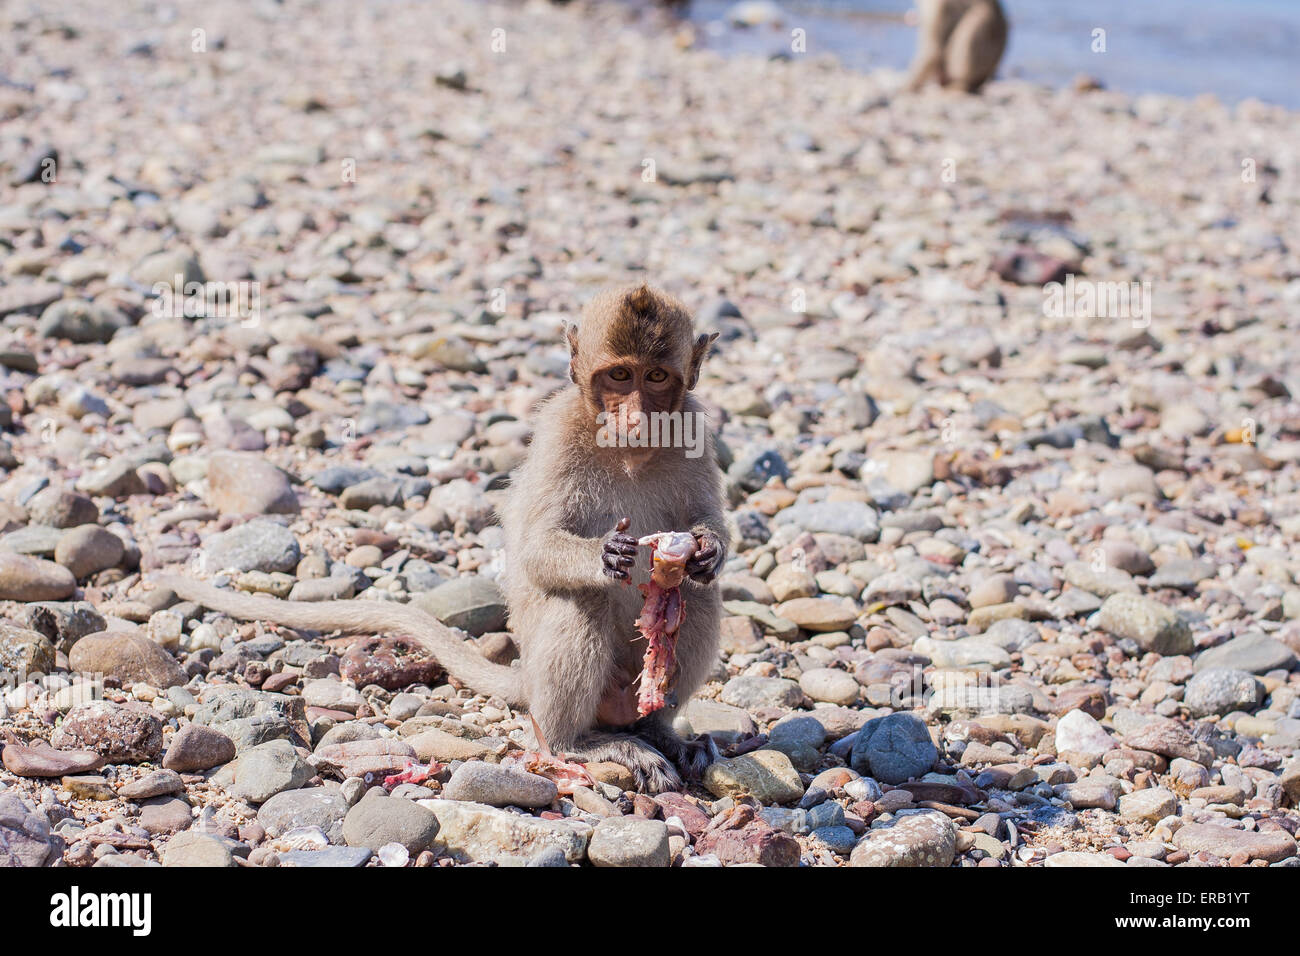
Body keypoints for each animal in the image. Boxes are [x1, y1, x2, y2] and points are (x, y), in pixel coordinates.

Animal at [158, 282, 728, 794]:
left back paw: (659, 731)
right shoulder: (559, 432)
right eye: (619, 375)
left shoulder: (696, 428)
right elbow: (536, 550)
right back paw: (579, 744)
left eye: (656, 376)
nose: (635, 415)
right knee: (579, 603)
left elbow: (707, 533)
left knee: (694, 597)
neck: (630, 453)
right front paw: (605, 554)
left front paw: (708, 550)